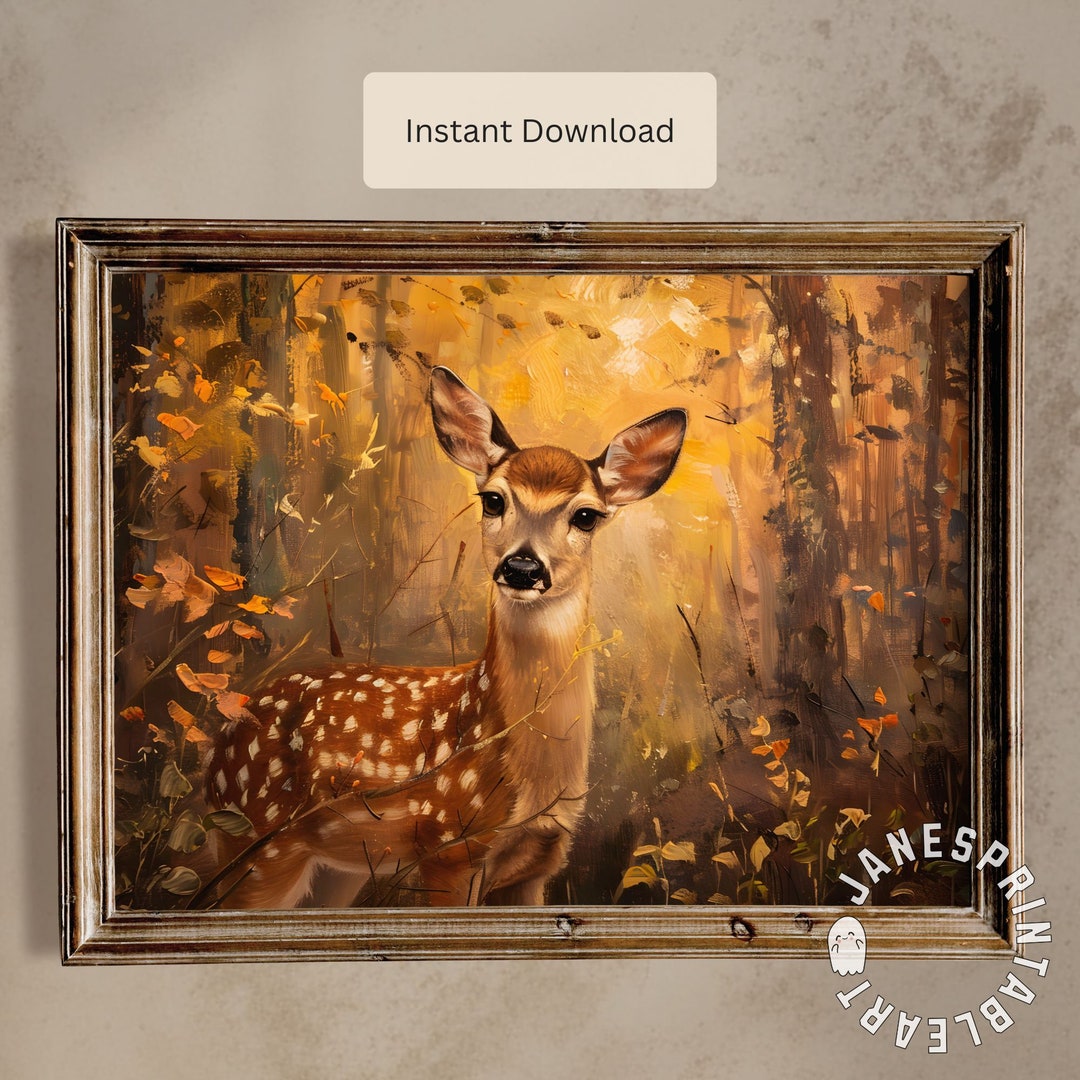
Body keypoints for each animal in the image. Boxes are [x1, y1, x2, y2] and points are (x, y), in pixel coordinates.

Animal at [202, 366, 686, 908]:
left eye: (586, 515)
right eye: (493, 499)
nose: (522, 567)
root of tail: (222, 737)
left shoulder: (540, 861)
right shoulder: (448, 845)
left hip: (335, 864)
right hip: (258, 838)